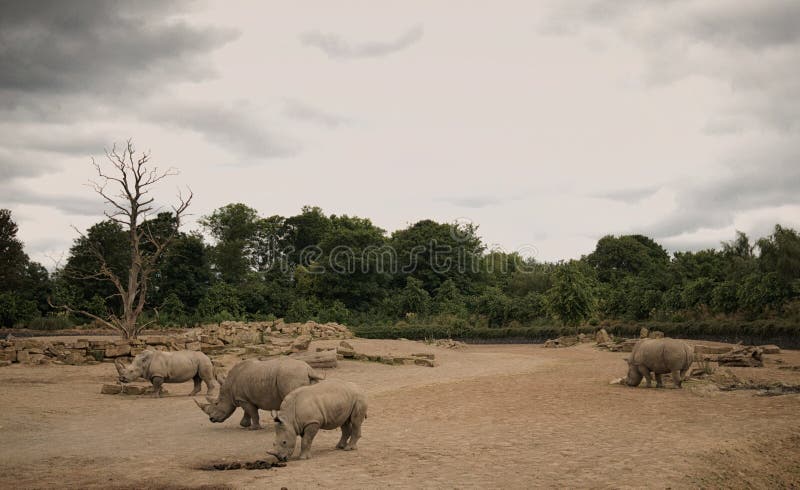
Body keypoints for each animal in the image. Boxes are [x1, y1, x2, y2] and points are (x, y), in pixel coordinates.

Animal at [194, 357, 323, 430]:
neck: (228, 389)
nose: (211, 419)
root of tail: (308, 369)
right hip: (300, 376)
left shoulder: (243, 399)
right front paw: (244, 425)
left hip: (291, 376)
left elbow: (253, 413)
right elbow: (248, 412)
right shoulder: (245, 398)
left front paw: (254, 428)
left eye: (216, 404)